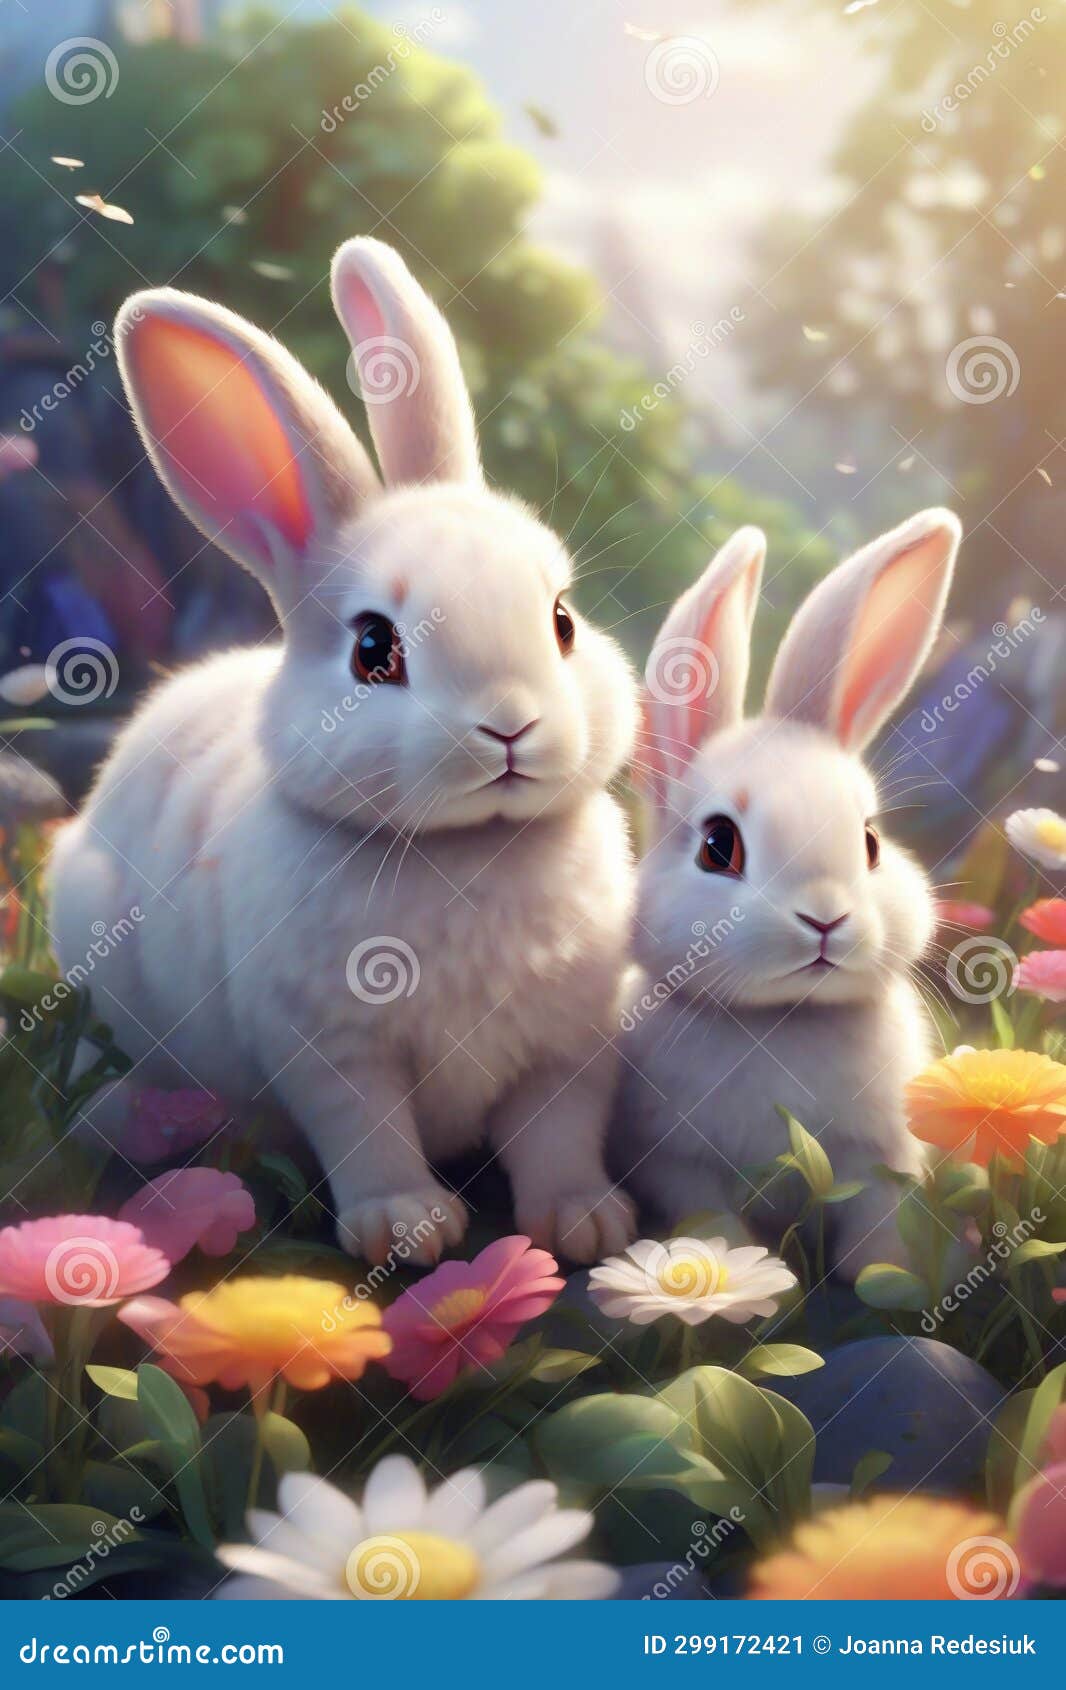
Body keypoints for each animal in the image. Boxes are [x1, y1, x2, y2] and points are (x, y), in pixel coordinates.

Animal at [48, 237, 640, 1267]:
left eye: (562, 621)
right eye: (375, 650)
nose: (511, 725)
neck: (470, 850)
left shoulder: (570, 1047)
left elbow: (557, 1135)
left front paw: (586, 1222)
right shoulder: (333, 1049)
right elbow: (369, 1132)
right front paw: (407, 1227)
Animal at [613, 509, 963, 1279]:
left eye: (870, 841)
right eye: (719, 846)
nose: (825, 918)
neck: (783, 1020)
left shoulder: (880, 1157)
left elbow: (878, 1221)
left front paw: (884, 1278)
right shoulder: (678, 1164)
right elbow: (712, 1223)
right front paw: (732, 1280)